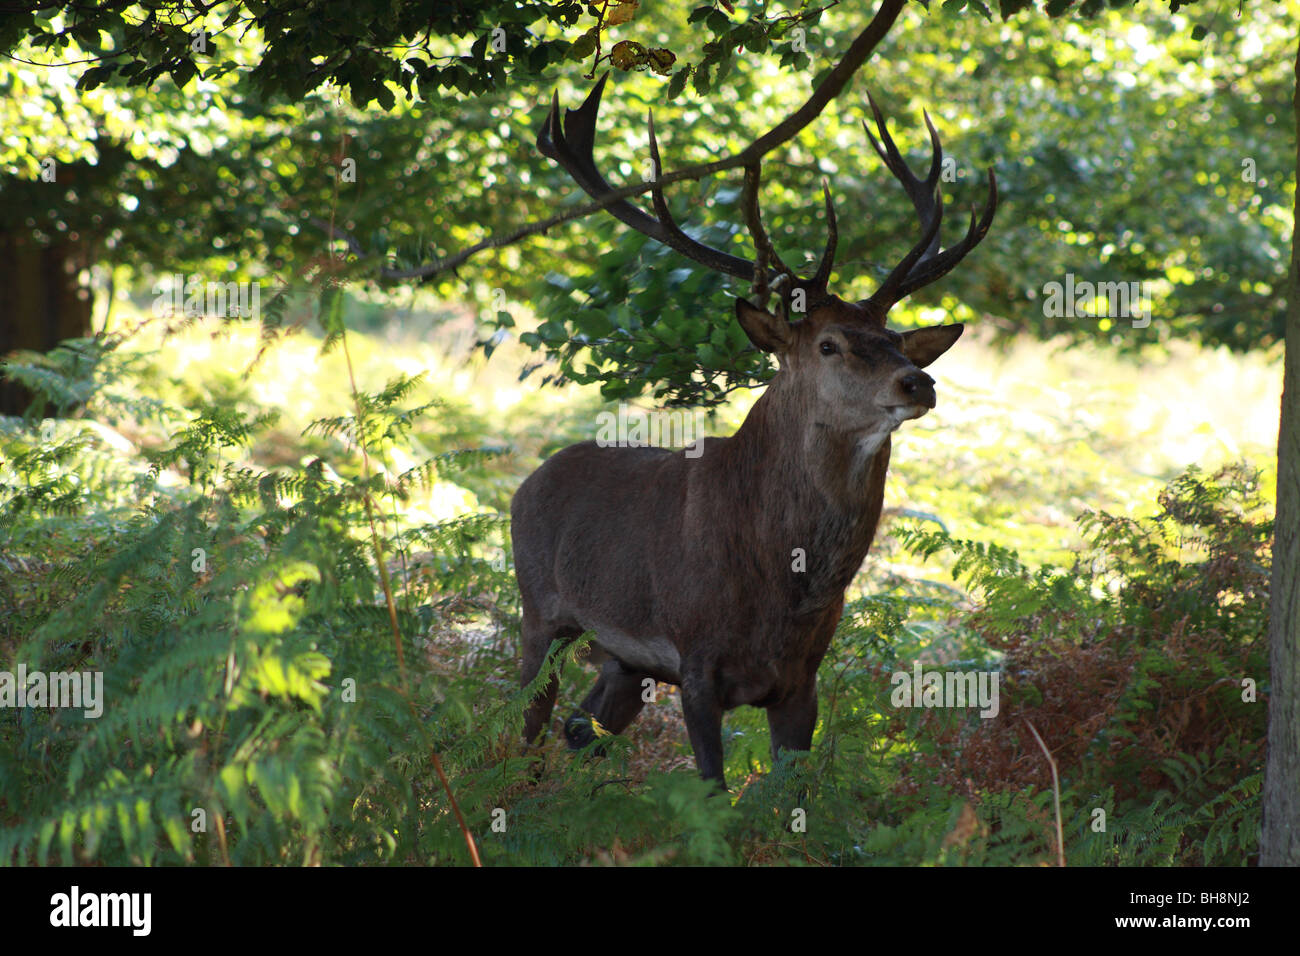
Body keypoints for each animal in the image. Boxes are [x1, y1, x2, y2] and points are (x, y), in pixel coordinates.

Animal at [512, 73, 996, 790]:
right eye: (828, 344)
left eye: (896, 339)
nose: (919, 382)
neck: (780, 584)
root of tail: (525, 483)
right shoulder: (696, 663)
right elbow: (712, 790)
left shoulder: (801, 682)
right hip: (538, 611)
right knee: (522, 729)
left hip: (625, 661)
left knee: (580, 726)